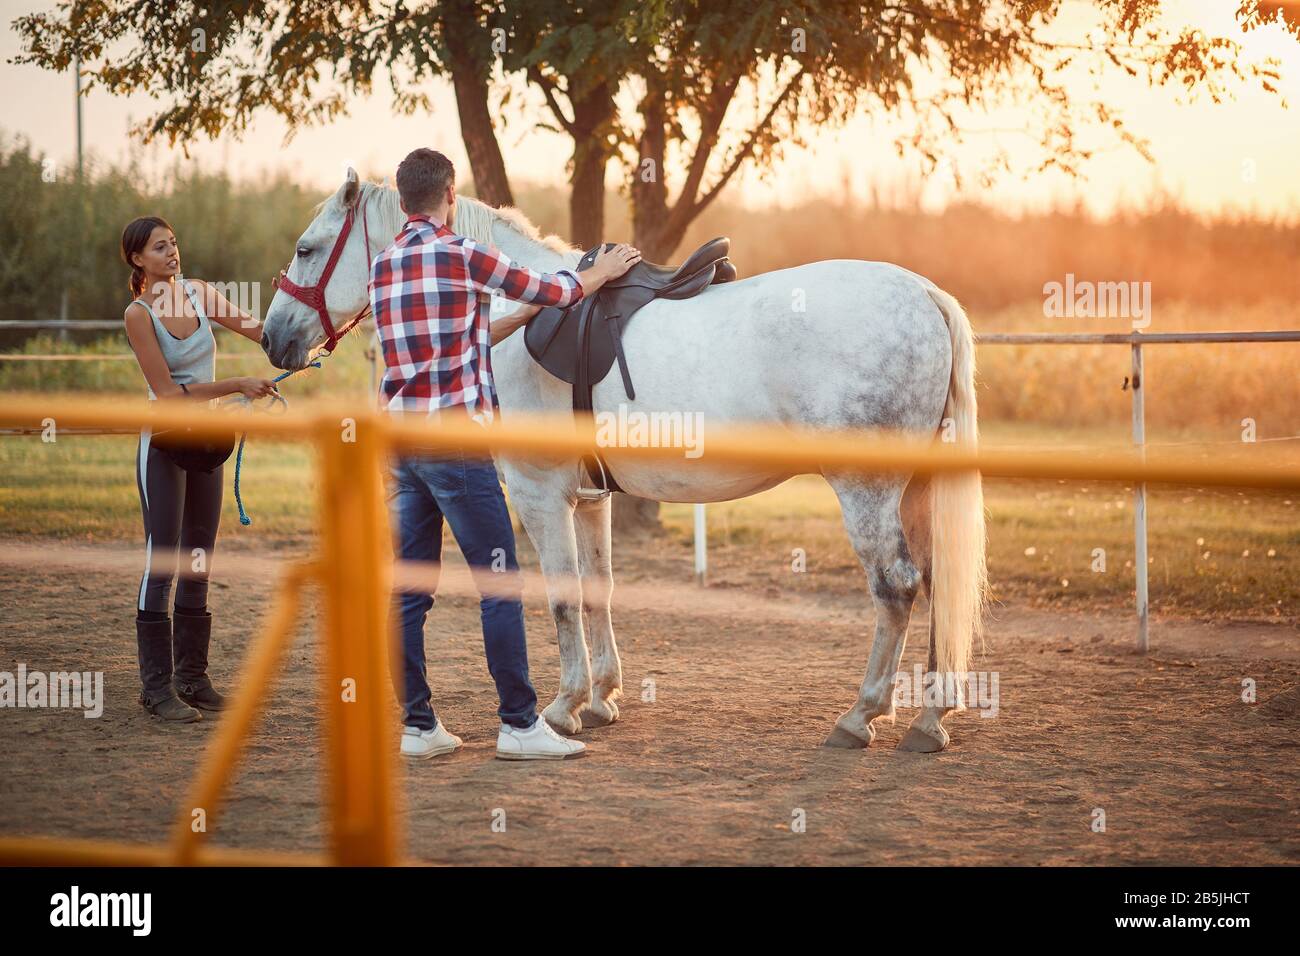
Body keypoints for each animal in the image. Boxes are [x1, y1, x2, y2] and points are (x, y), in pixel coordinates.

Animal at [261, 169, 986, 753]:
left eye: (306, 248)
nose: (273, 339)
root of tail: (927, 297)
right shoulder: (589, 498)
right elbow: (596, 590)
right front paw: (602, 697)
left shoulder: (539, 494)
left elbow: (559, 597)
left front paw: (561, 707)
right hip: (915, 488)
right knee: (934, 580)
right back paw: (928, 716)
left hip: (867, 489)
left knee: (896, 587)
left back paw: (861, 716)